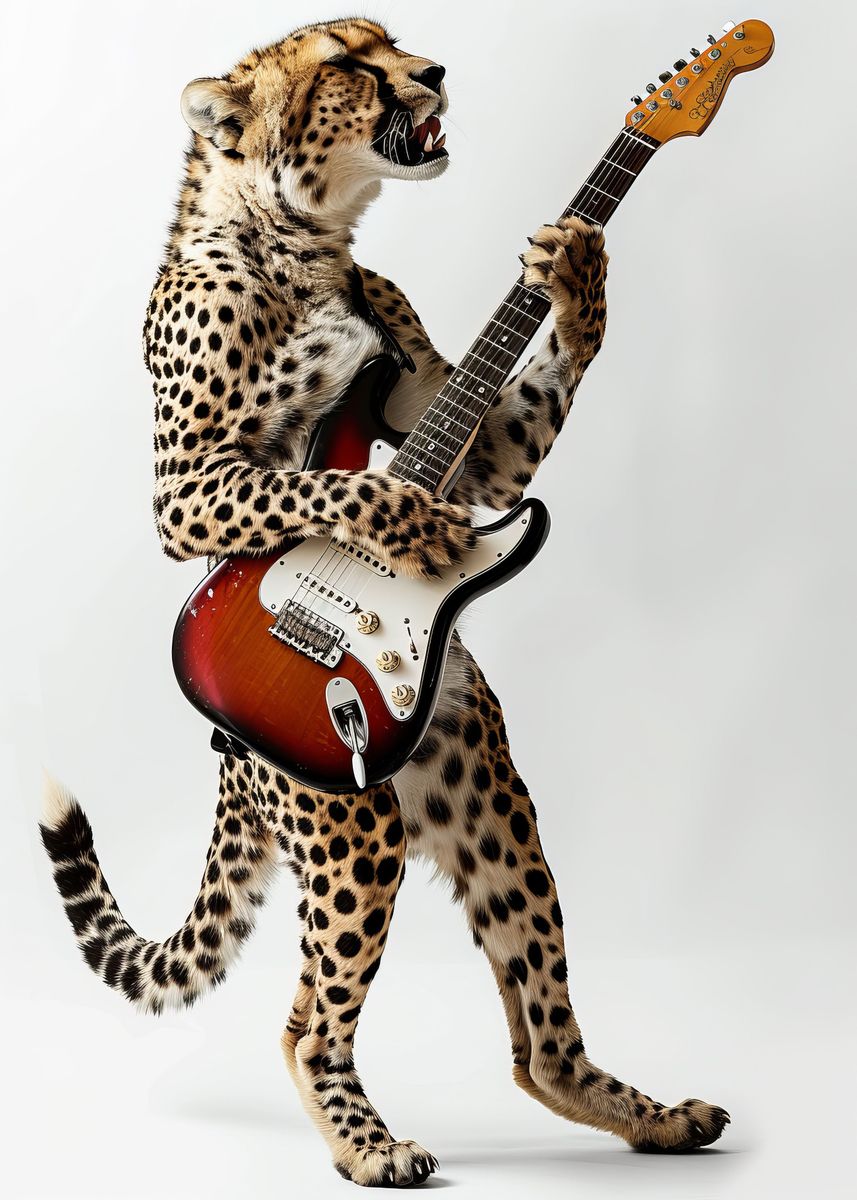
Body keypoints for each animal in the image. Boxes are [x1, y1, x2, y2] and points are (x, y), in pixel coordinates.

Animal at [41, 18, 729, 1188]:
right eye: (346, 64)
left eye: (398, 42)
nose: (434, 73)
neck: (305, 242)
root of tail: (232, 745)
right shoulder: (183, 489)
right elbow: (327, 485)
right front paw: (410, 522)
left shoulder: (465, 427)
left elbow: (489, 442)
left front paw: (574, 267)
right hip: (347, 823)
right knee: (304, 1024)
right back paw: (369, 1148)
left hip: (488, 797)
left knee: (536, 1040)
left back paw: (649, 1117)